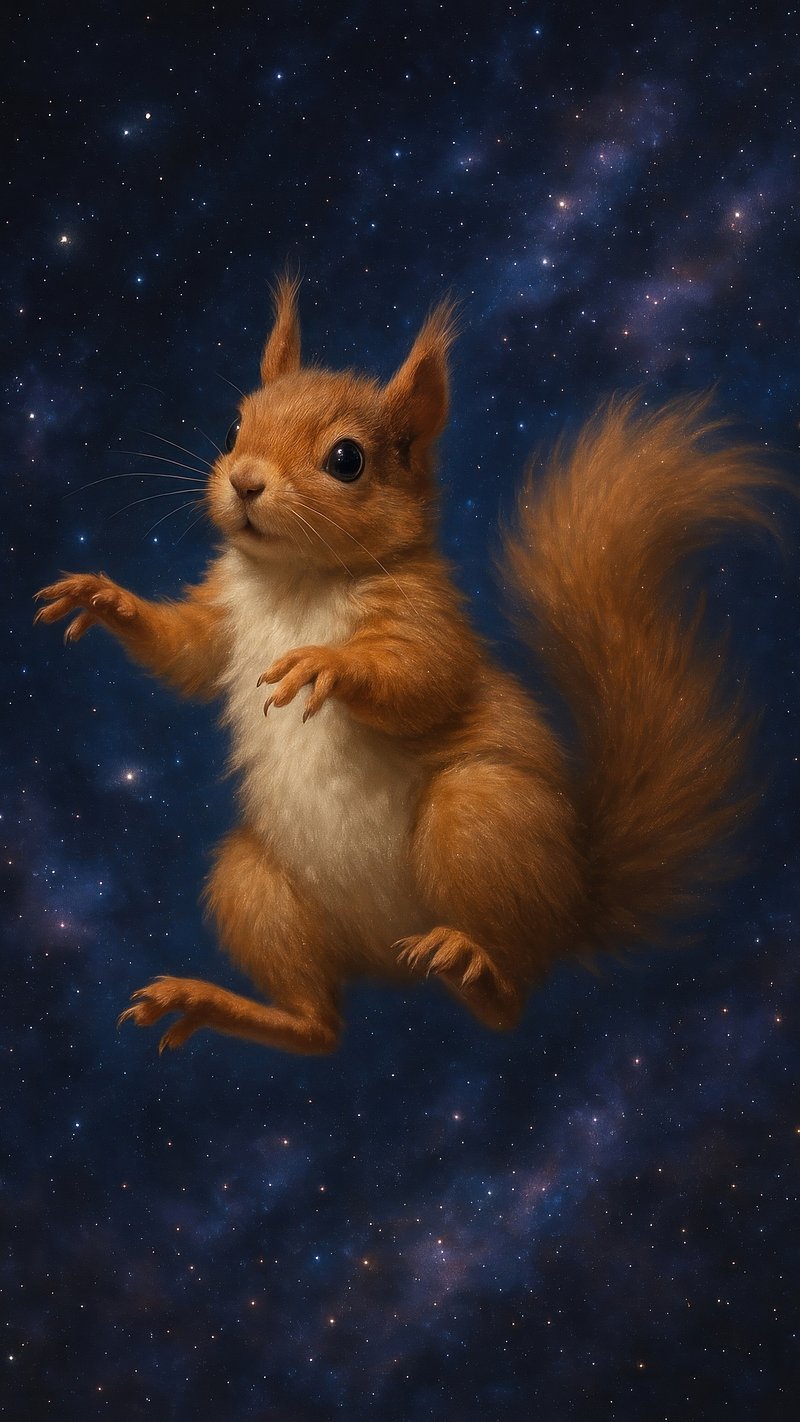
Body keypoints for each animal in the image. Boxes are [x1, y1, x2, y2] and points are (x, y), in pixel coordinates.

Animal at [35, 275, 785, 1057]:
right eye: (235, 429)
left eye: (347, 459)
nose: (242, 481)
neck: (295, 580)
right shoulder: (223, 618)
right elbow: (182, 652)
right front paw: (106, 598)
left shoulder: (424, 614)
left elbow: (425, 678)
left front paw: (329, 667)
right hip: (253, 881)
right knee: (318, 1026)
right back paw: (215, 1001)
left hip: (483, 817)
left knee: (511, 990)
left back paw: (474, 965)